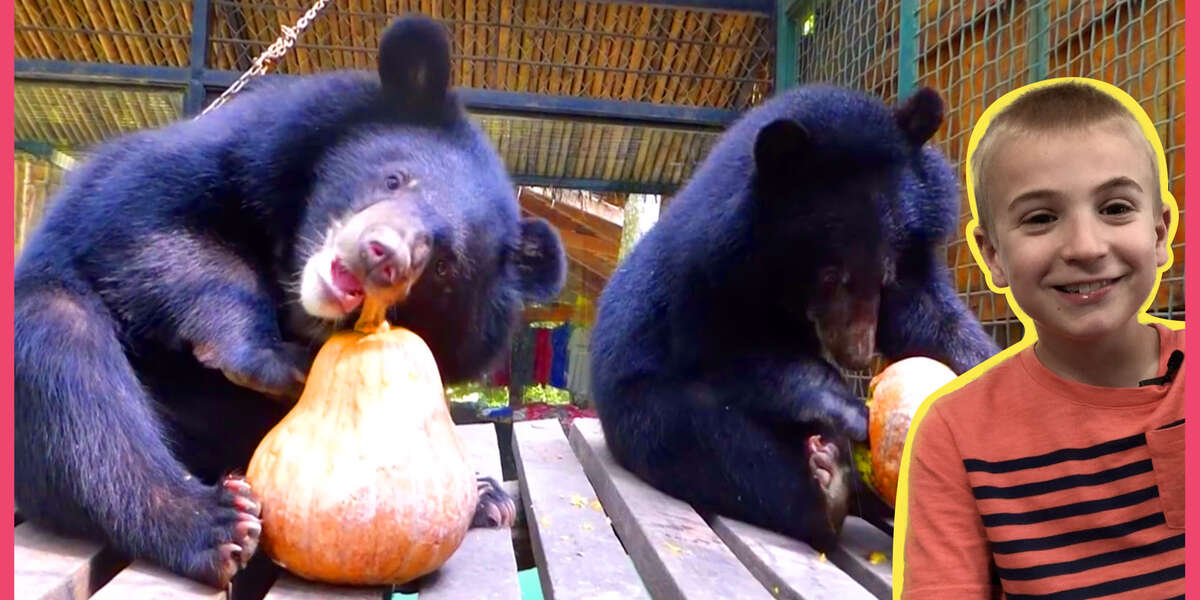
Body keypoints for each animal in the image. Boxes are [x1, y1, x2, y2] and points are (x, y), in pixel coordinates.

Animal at [14, 17, 564, 587]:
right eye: (393, 178)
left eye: (443, 264)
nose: (379, 254)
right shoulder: (238, 154)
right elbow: (141, 223)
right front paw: (273, 360)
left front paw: (483, 490)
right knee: (70, 372)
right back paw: (215, 525)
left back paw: (486, 496)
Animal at [588, 85, 999, 552]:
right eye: (830, 276)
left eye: (885, 274)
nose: (857, 355)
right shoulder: (702, 280)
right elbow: (730, 354)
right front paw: (848, 407)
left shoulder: (913, 252)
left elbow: (928, 317)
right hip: (638, 401)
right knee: (710, 445)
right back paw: (828, 487)